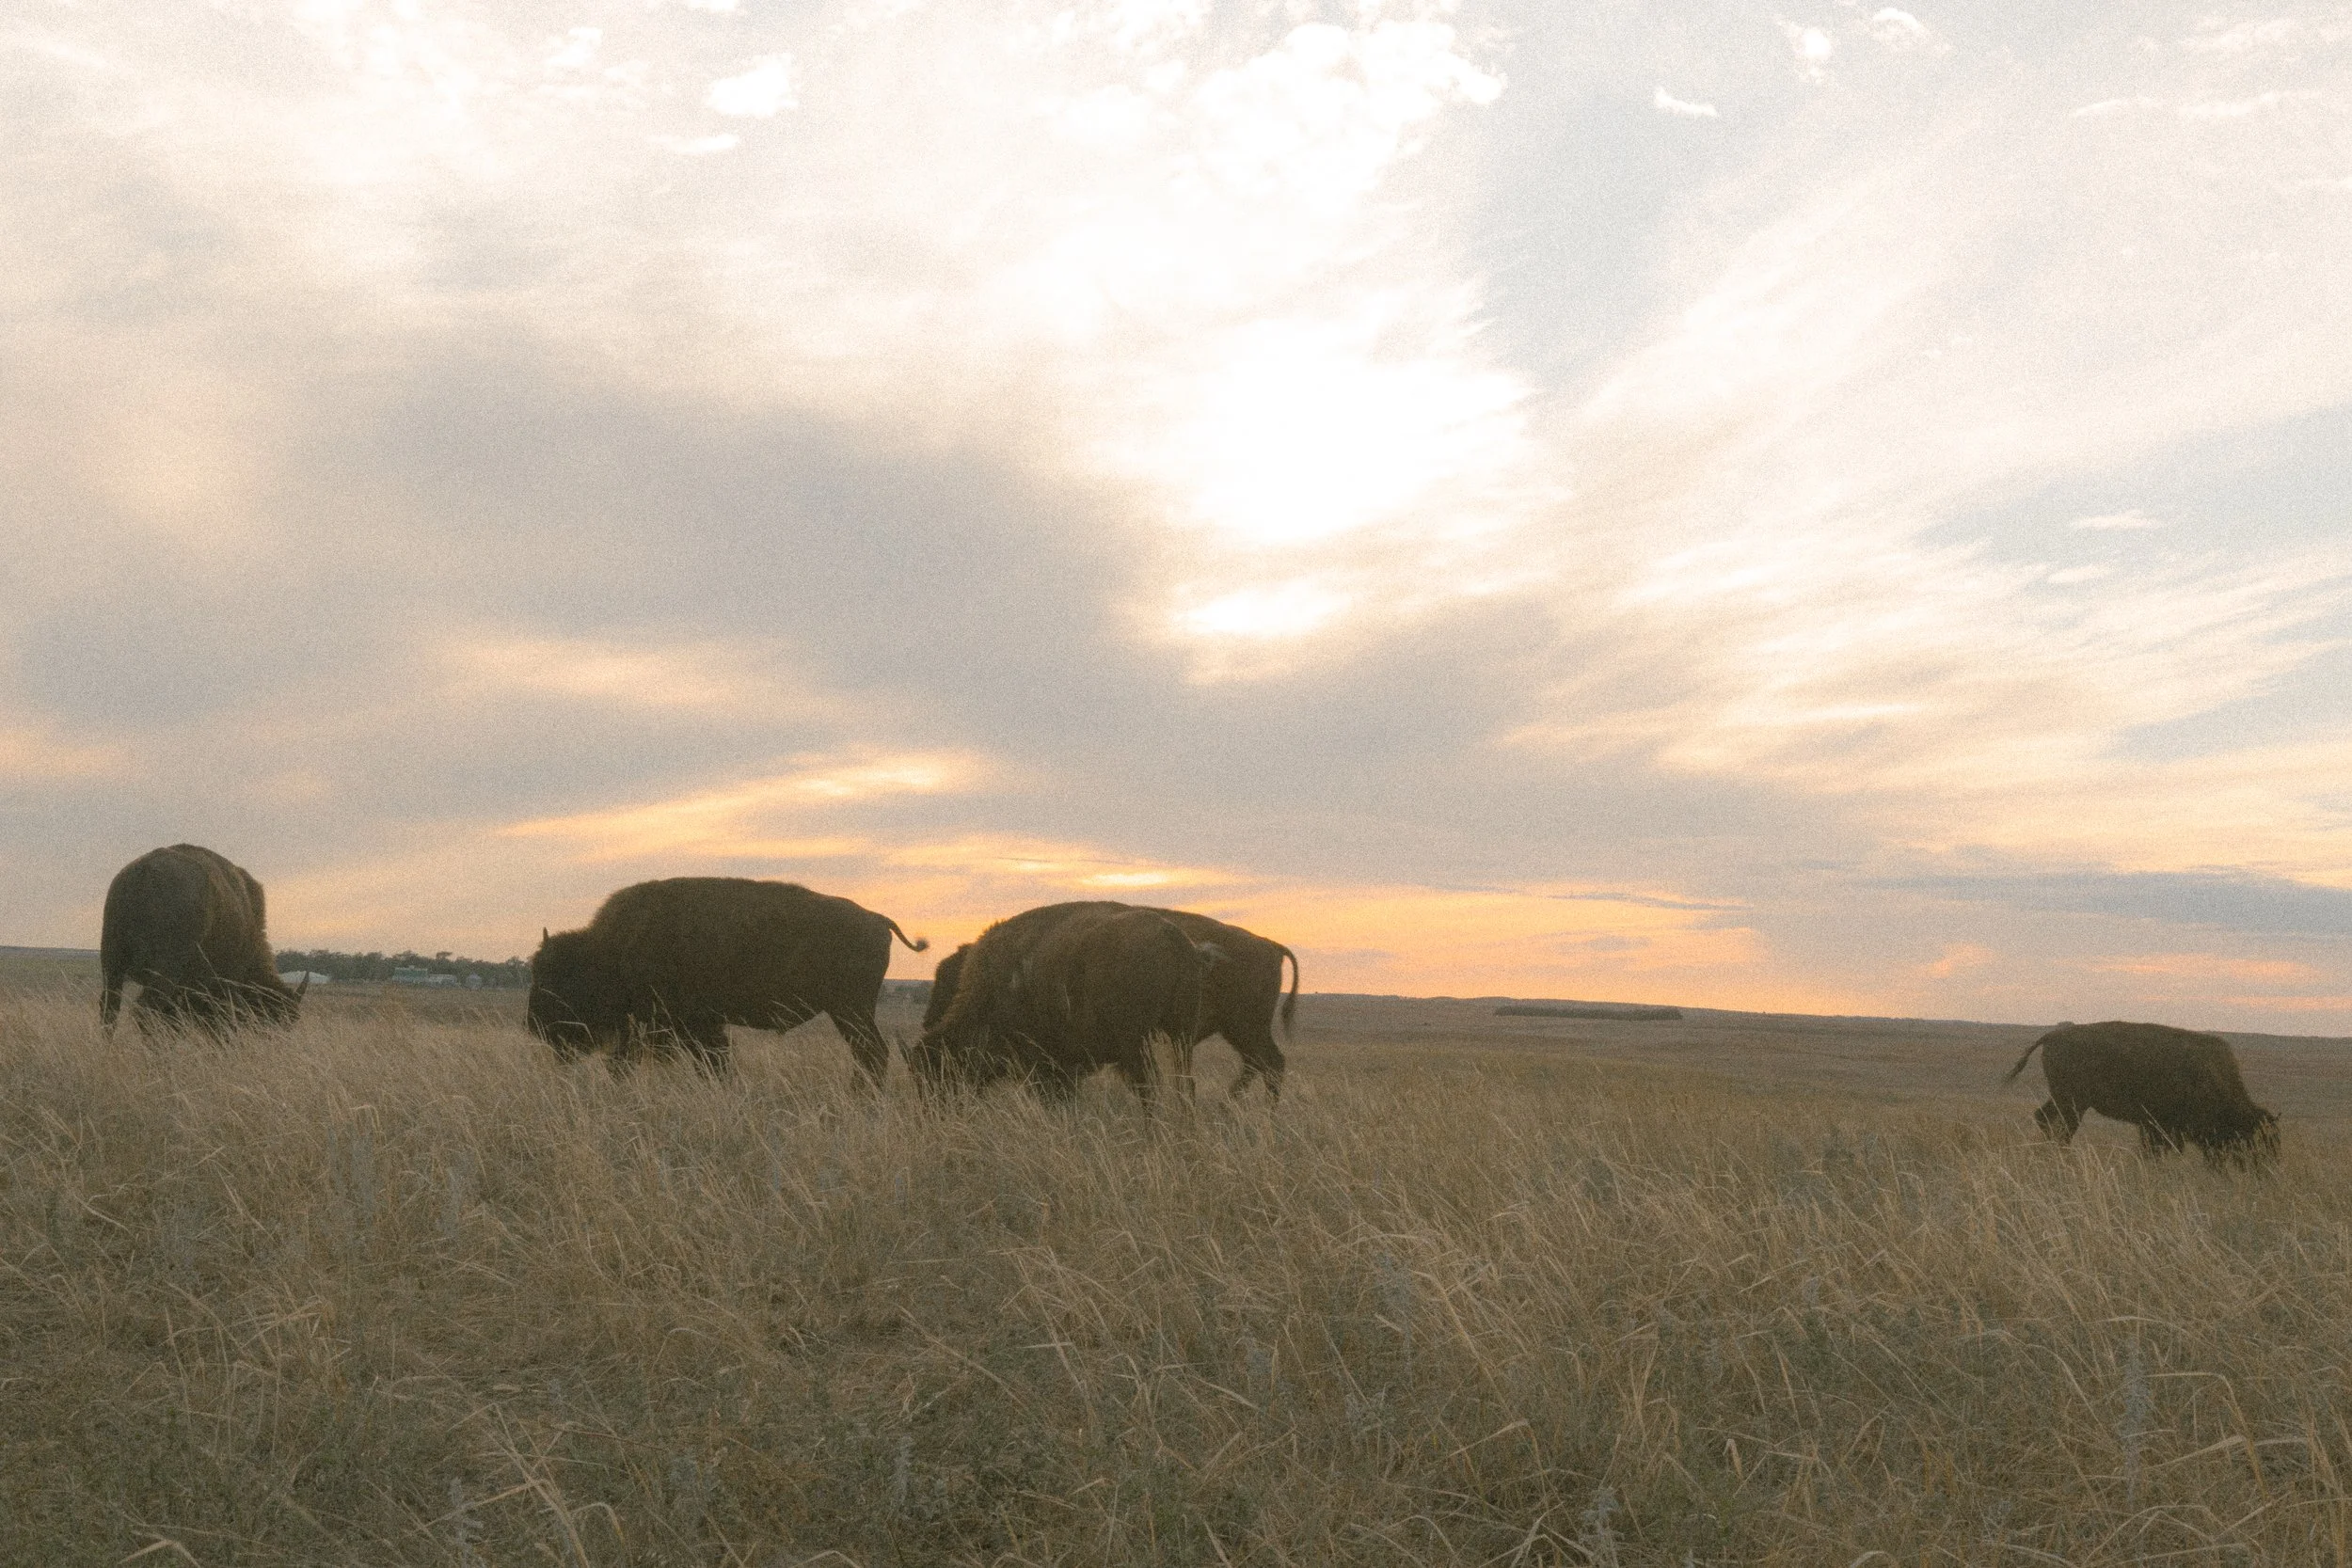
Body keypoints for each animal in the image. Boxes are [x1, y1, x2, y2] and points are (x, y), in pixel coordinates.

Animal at [527, 877, 927, 1083]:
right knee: (870, 1053)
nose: (534, 1025)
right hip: (850, 1011)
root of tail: (877, 919)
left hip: (850, 1010)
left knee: (872, 1053)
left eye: (554, 977)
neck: (611, 949)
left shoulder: (685, 1026)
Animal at [918, 900, 1298, 1097]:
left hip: (1241, 1027)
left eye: (938, 1070)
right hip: (1216, 1031)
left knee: (1267, 1064)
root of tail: (1269, 945)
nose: (934, 1112)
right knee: (1249, 1067)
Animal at [2004, 1020, 2279, 1165]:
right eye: (2257, 1138)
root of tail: (2055, 1034)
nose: (2268, 1169)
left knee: (2045, 1118)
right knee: (2060, 1126)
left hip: (2067, 1100)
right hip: (2072, 1102)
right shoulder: (2157, 1126)